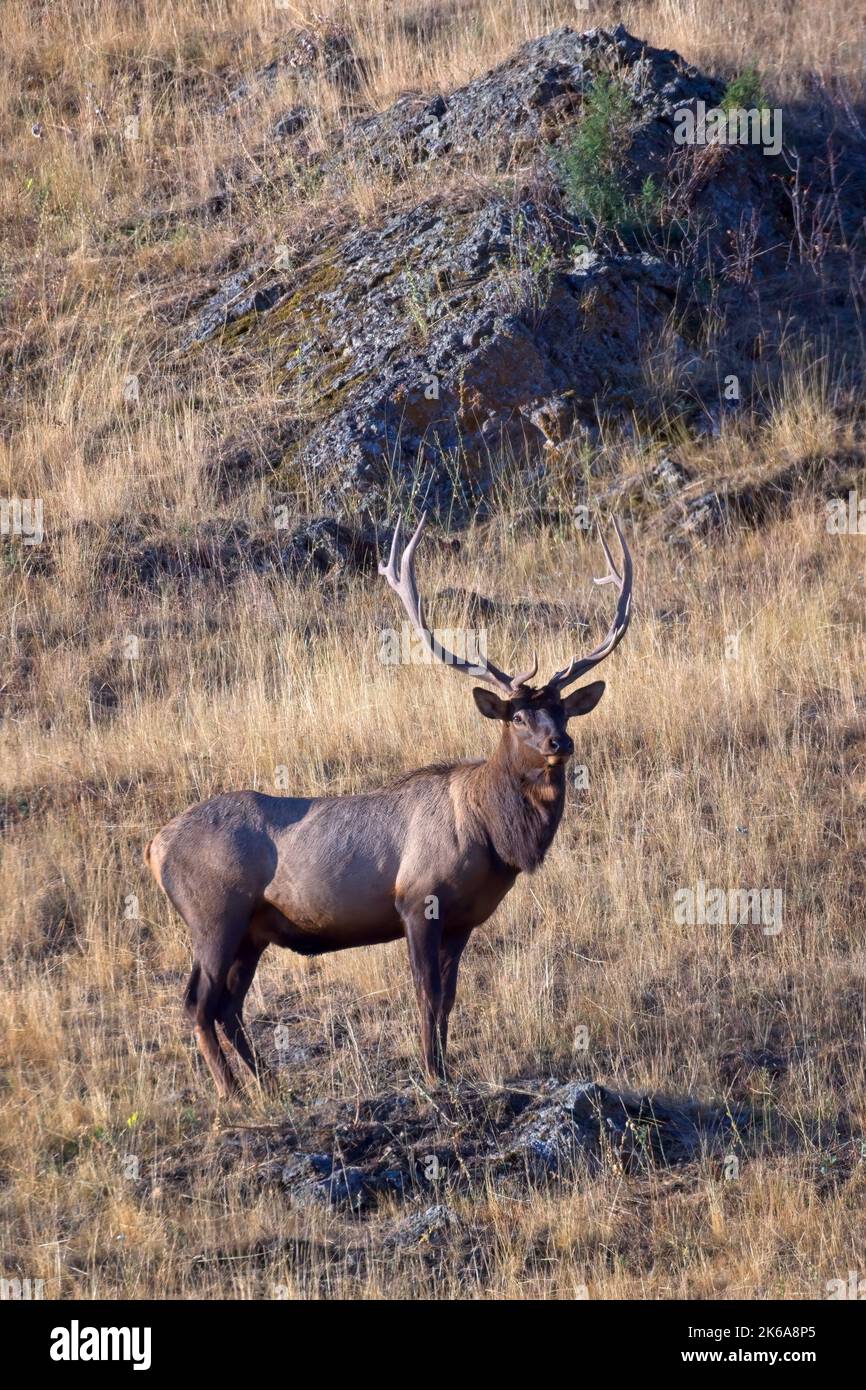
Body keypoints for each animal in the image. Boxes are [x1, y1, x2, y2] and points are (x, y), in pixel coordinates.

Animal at [145, 515, 632, 1099]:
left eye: (563, 710)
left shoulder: (463, 921)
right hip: (213, 914)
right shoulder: (417, 899)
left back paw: (271, 1086)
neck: (491, 834)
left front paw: (447, 1068)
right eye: (516, 717)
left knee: (229, 1005)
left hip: (252, 931)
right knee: (198, 1002)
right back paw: (234, 1094)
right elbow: (425, 993)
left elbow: (449, 998)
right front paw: (432, 1075)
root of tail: (153, 847)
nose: (561, 743)